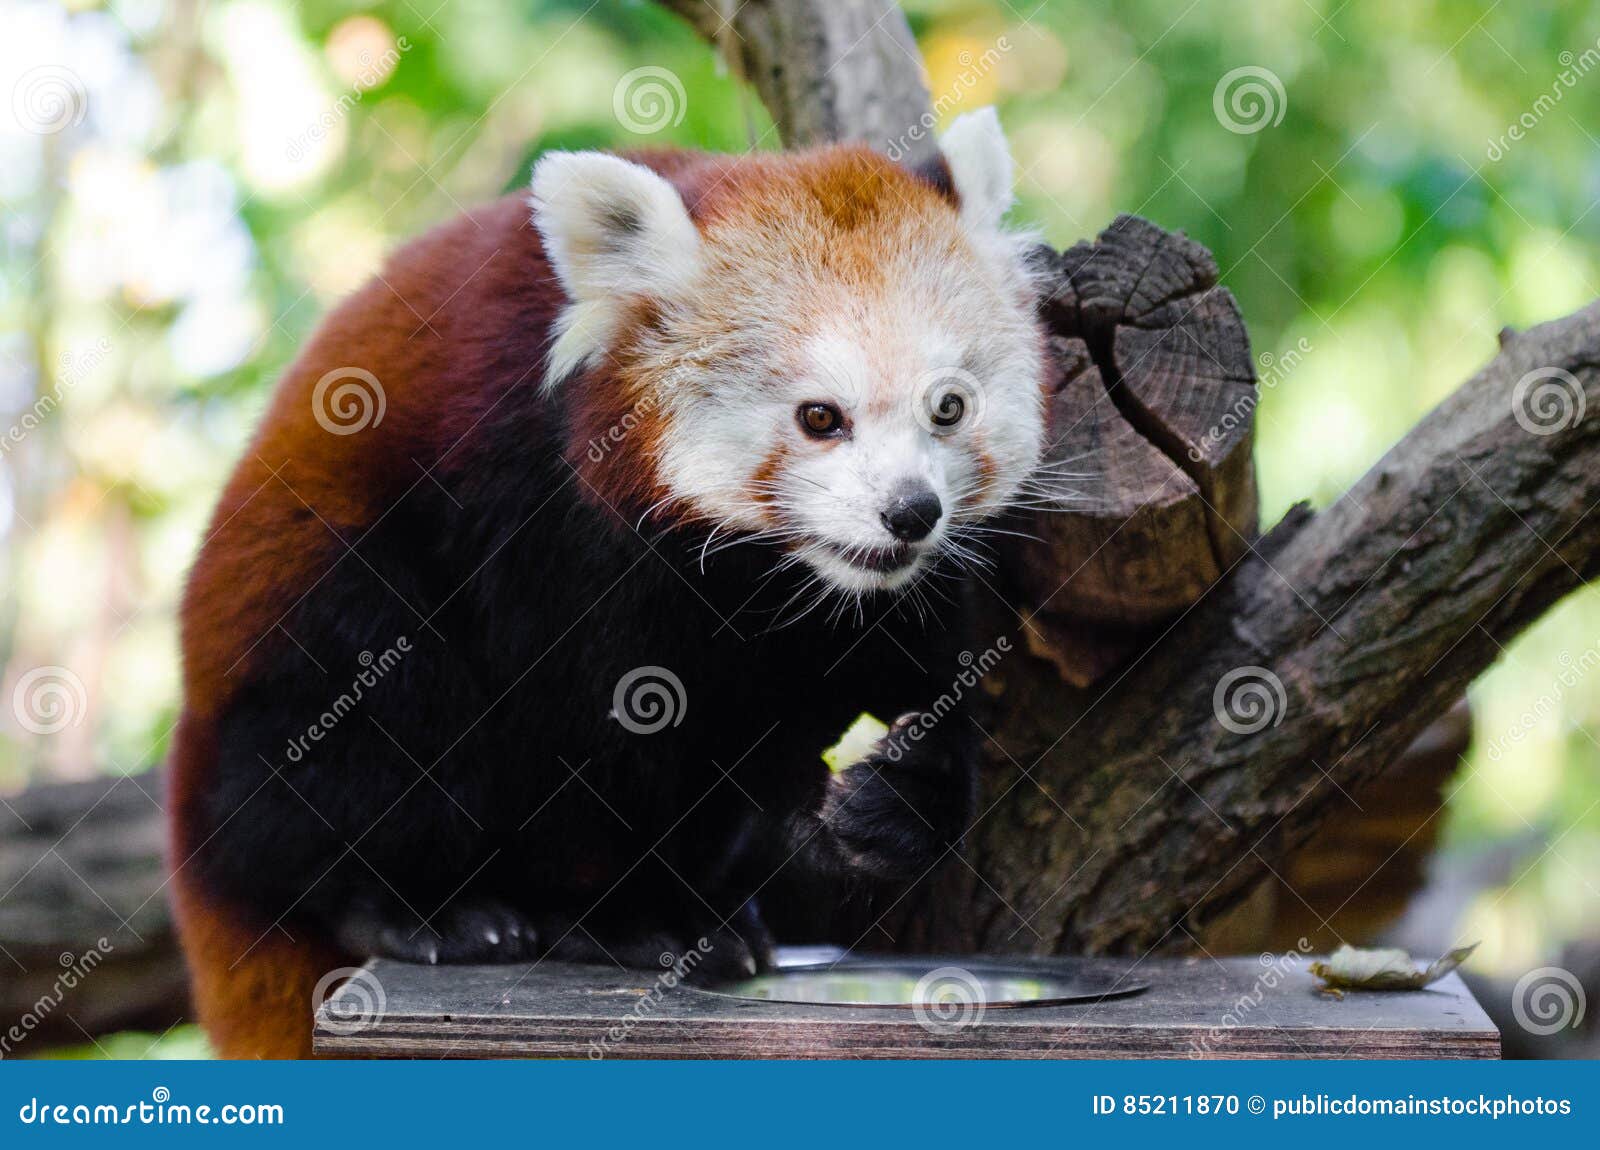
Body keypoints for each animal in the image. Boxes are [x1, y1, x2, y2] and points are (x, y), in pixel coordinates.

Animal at [168, 108, 1049, 1057]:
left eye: (948, 408)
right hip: (308, 618)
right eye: (821, 418)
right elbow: (586, 732)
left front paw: (899, 800)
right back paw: (417, 909)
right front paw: (628, 918)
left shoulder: (871, 594)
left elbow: (921, 673)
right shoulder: (534, 512)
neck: (758, 577)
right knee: (374, 706)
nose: (910, 511)